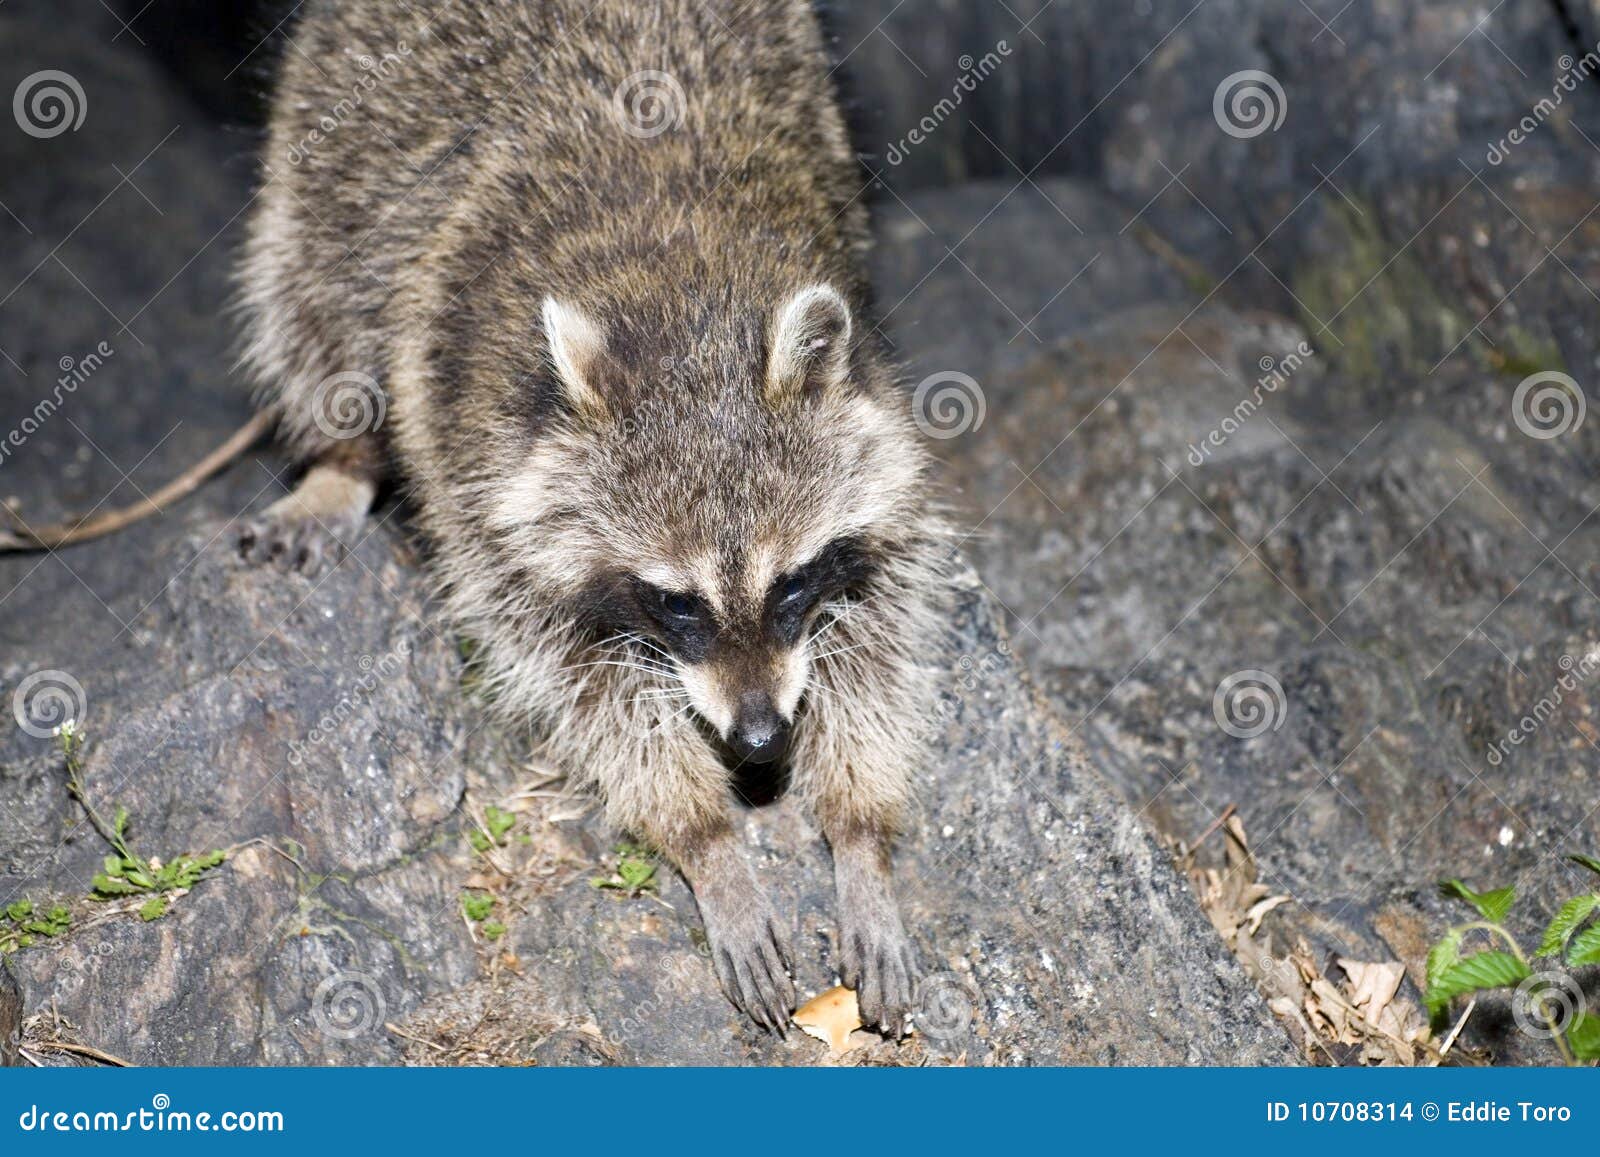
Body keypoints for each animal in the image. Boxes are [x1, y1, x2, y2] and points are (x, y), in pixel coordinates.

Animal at [237, 0, 949, 1034]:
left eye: (790, 583)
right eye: (679, 603)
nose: (759, 740)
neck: (680, 302)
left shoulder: (875, 435)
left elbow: (878, 639)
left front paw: (861, 841)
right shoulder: (480, 469)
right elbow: (586, 690)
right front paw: (709, 844)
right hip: (332, 139)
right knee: (312, 292)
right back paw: (341, 458)